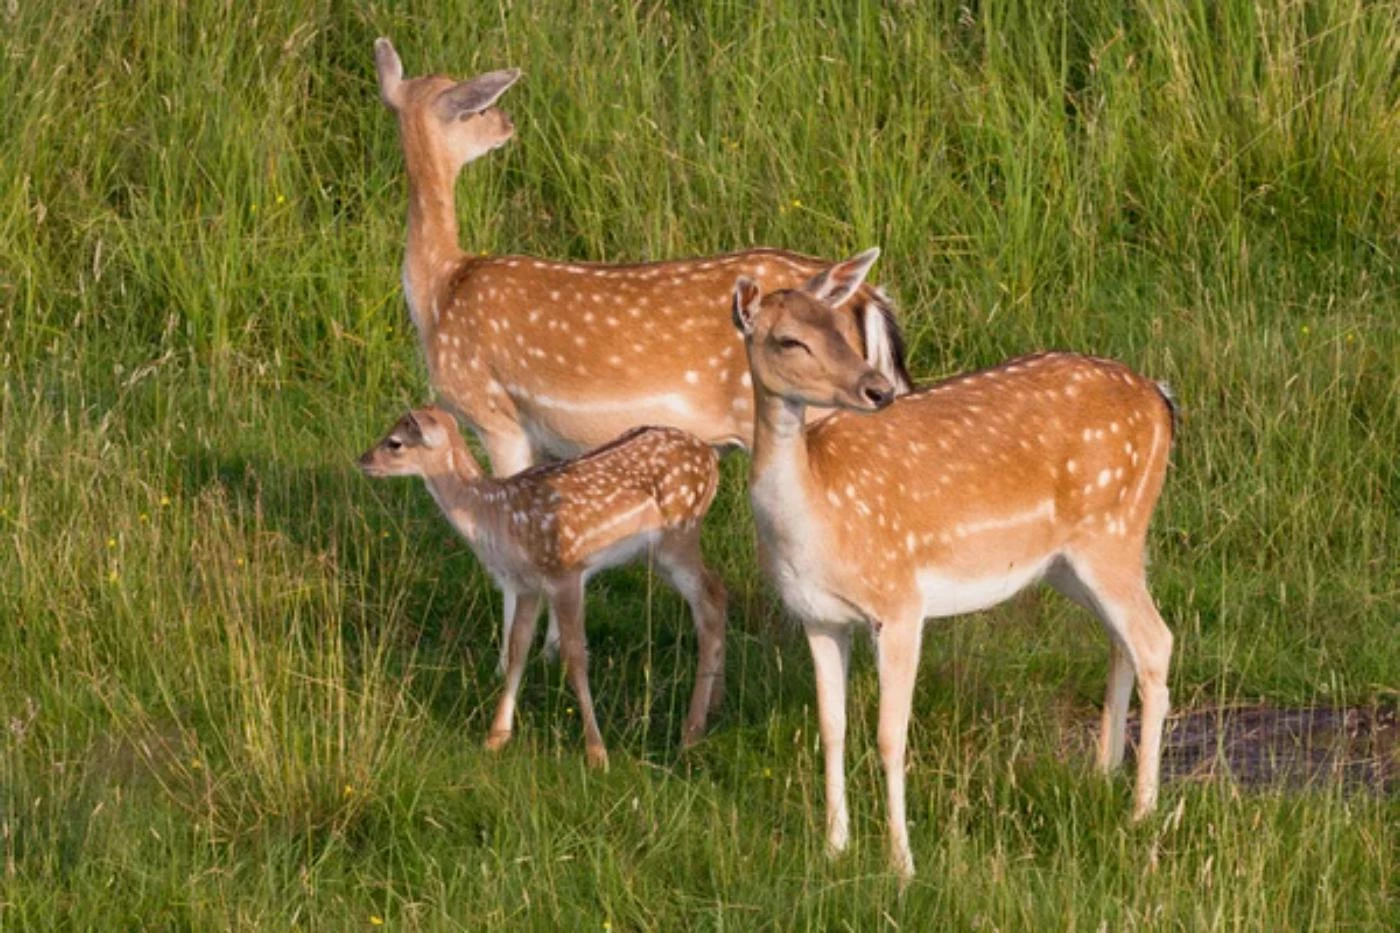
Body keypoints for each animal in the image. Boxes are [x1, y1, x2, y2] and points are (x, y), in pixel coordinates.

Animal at [359, 406, 727, 767]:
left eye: (395, 442)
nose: (362, 459)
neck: (496, 516)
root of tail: (711, 456)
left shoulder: (565, 574)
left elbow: (575, 656)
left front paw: (597, 753)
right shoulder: (527, 585)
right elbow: (518, 647)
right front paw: (496, 737)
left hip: (678, 537)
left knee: (709, 602)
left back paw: (690, 732)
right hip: (654, 552)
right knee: (719, 591)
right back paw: (713, 706)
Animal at [372, 37, 911, 674]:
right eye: (475, 106)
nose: (506, 122)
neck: (439, 292)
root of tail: (869, 299)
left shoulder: (495, 412)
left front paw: (513, 659)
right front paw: (550, 646)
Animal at [729, 249, 1177, 881]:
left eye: (842, 328)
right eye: (790, 340)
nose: (875, 388)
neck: (816, 522)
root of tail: (1162, 400)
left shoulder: (899, 601)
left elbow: (889, 735)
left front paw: (902, 864)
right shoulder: (817, 617)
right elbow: (831, 729)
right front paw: (834, 847)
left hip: (1113, 532)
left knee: (1156, 640)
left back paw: (1142, 812)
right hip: (1073, 559)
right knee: (1124, 639)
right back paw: (1102, 774)